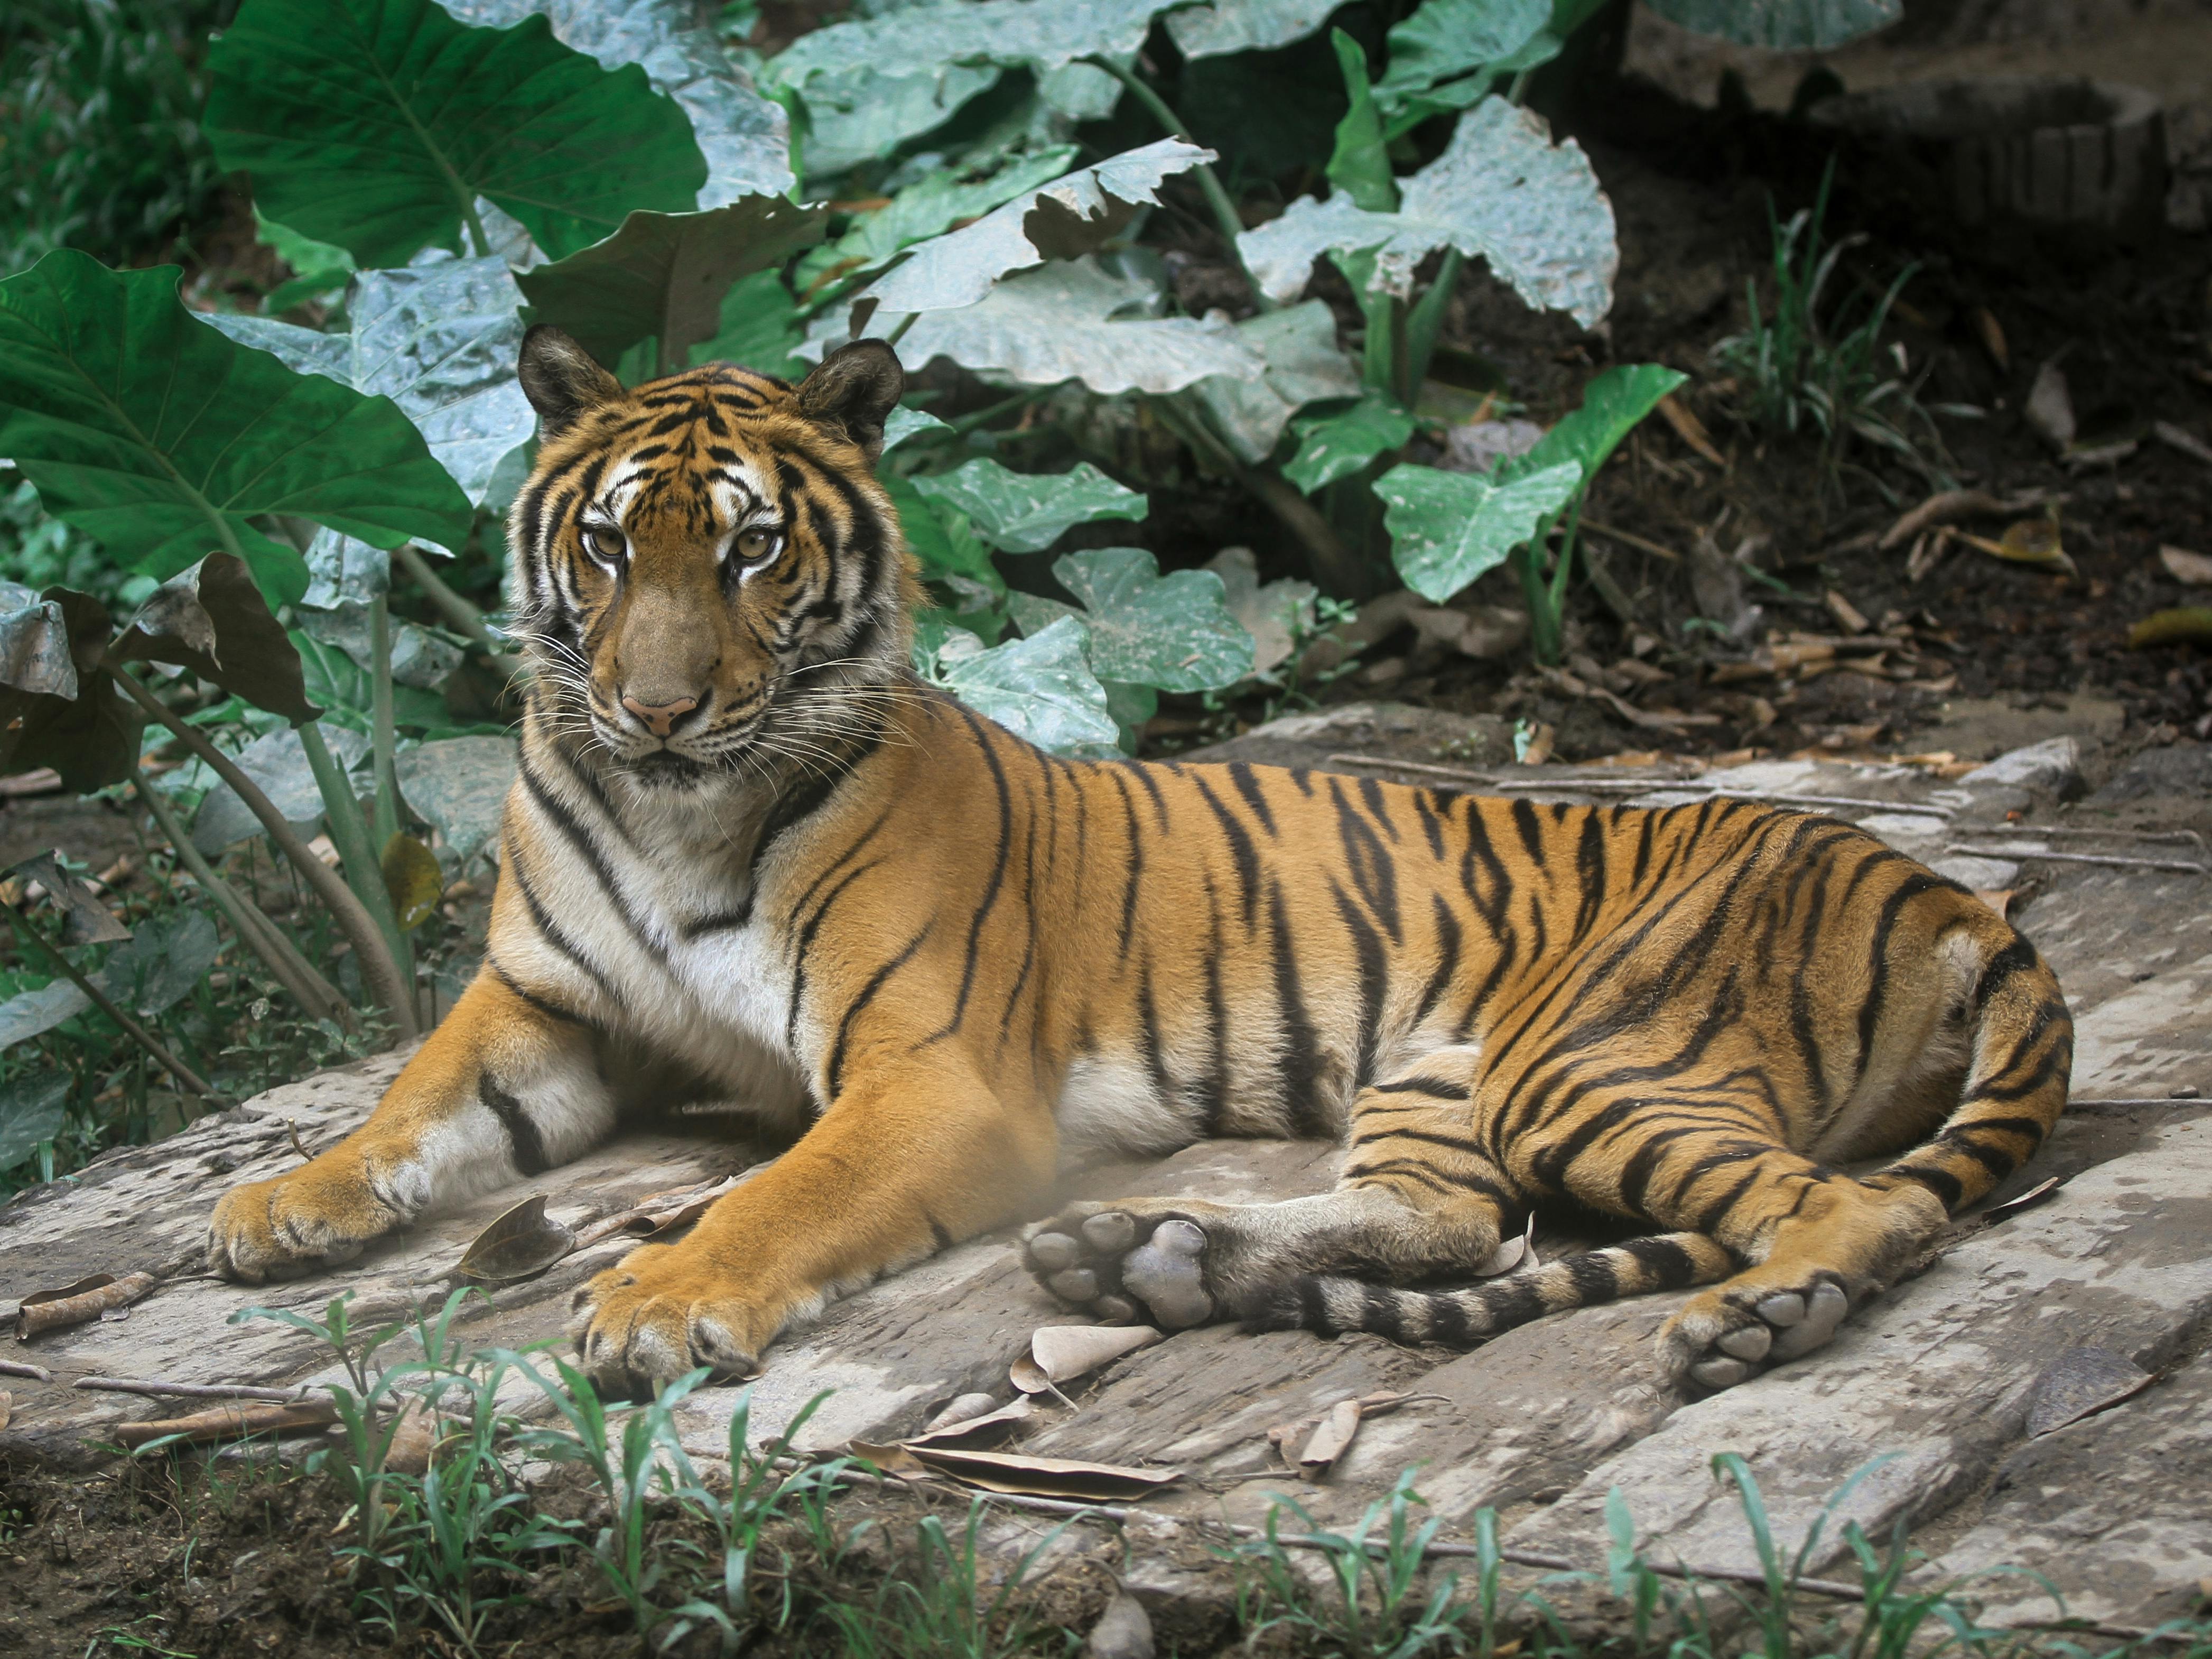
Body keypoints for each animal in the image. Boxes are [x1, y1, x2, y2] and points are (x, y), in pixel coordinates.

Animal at [206, 325, 2074, 1398]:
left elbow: (774, 1189)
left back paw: (1753, 1321)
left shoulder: (929, 1073)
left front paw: (658, 1298)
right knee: (1452, 1222)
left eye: (747, 551)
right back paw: (1154, 1255)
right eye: (605, 547)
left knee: (1858, 1205)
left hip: (1590, 1059)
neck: (679, 808)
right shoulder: (542, 1001)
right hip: (1444, 1074)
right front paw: (279, 1203)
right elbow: (411, 1101)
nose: (655, 709)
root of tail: (1944, 887)